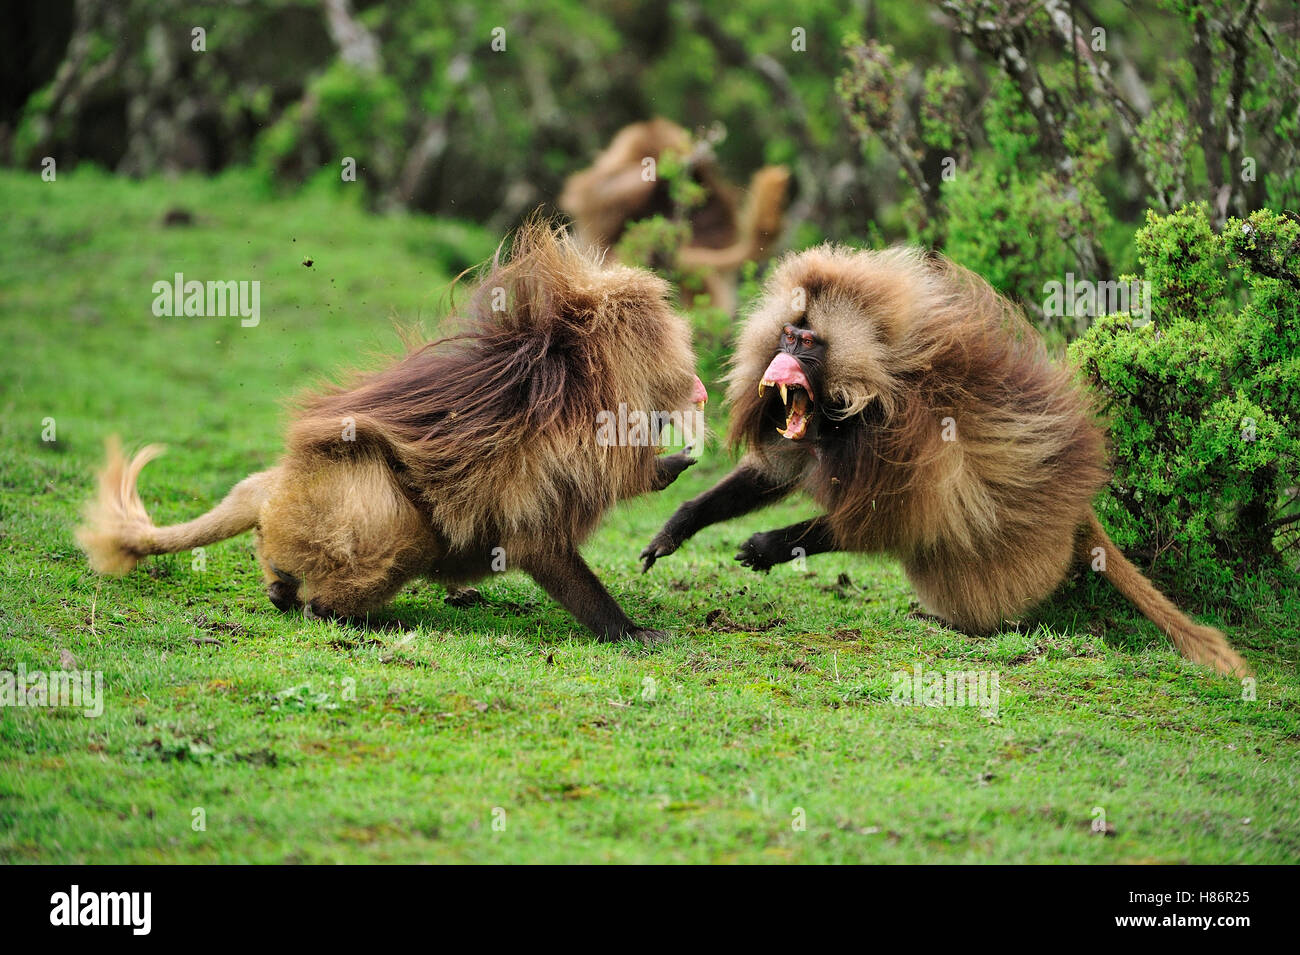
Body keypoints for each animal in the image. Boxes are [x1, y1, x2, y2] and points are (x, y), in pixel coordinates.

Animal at [77, 222, 709, 644]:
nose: (701, 389)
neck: (577, 379)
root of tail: (272, 488)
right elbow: (542, 545)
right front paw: (630, 632)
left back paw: (282, 590)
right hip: (334, 509)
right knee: (396, 528)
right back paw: (332, 610)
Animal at [639, 244, 1248, 676]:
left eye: (808, 344)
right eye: (786, 335)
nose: (781, 359)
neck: (853, 406)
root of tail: (1076, 505)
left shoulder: (903, 439)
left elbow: (885, 520)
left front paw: (768, 546)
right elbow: (773, 475)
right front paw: (675, 528)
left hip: (1030, 550)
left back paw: (964, 623)